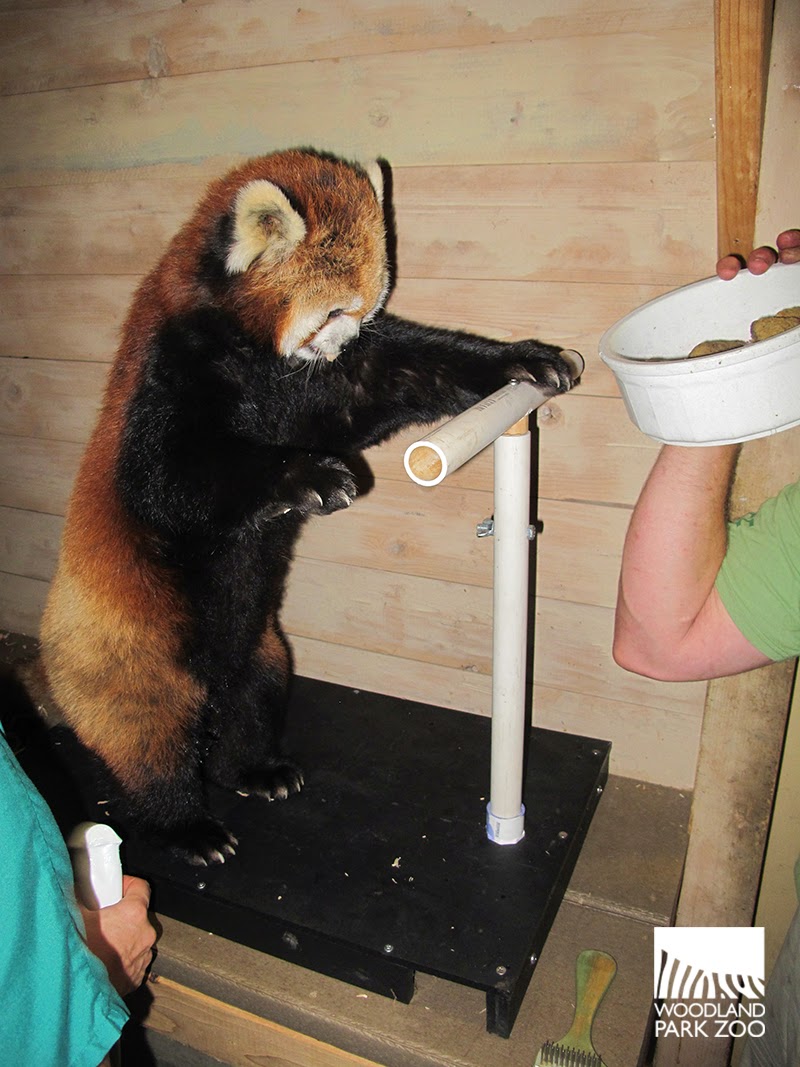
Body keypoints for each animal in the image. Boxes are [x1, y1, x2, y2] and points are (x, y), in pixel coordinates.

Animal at [39, 148, 576, 866]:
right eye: (333, 311)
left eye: (369, 309)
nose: (348, 342)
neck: (251, 354)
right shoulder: (165, 378)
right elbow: (170, 477)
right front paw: (311, 475)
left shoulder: (321, 387)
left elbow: (397, 374)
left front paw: (522, 359)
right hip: (131, 658)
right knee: (149, 738)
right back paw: (187, 826)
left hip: (262, 648)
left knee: (254, 698)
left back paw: (255, 768)